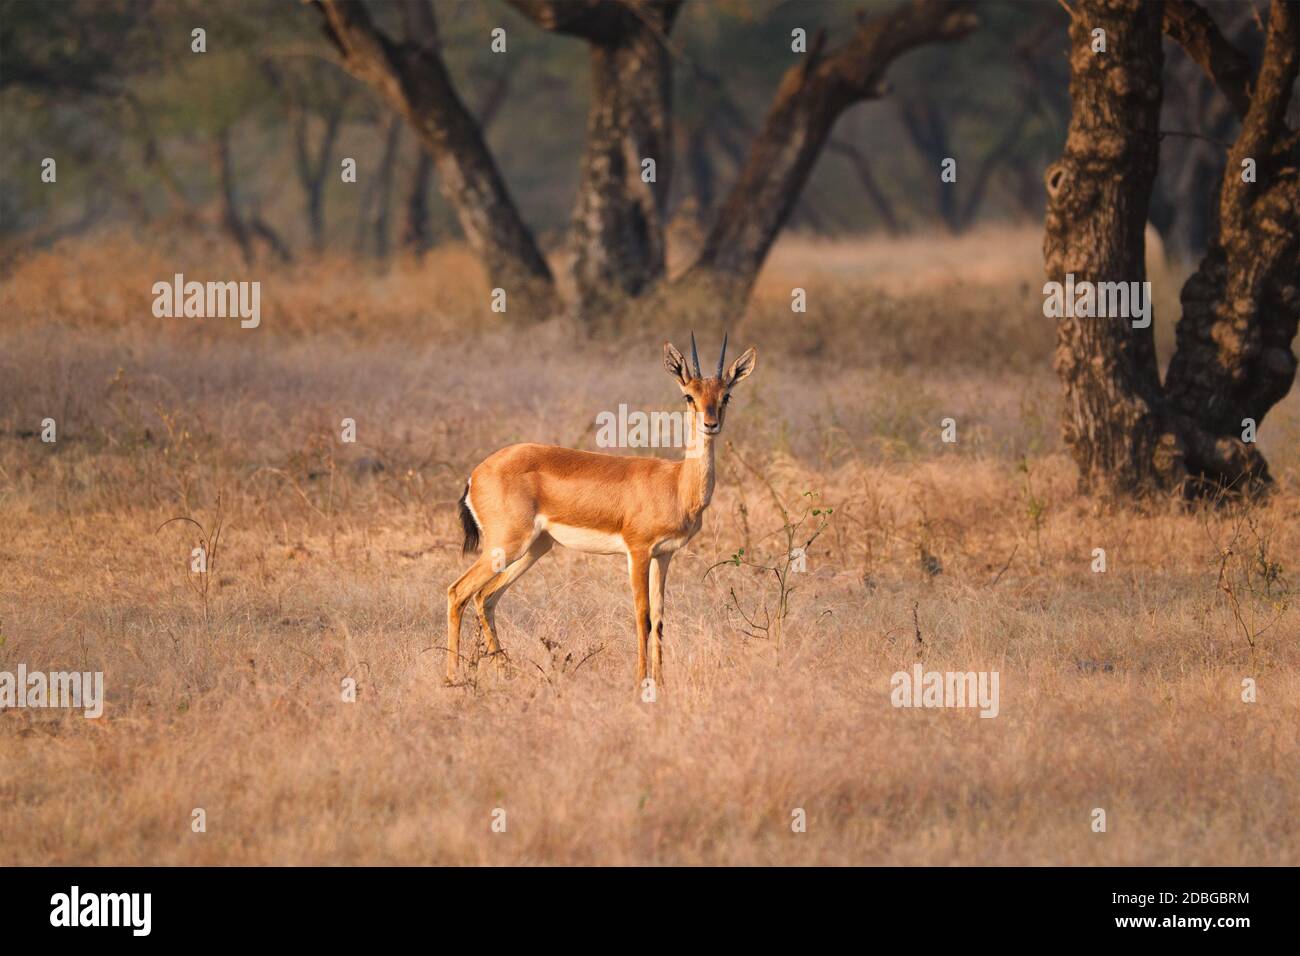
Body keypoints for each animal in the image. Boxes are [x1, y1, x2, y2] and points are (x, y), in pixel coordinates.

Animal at [447, 334, 757, 687]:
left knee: (485, 597)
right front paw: (641, 682)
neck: (676, 483)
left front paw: (661, 683)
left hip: (534, 548)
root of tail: (475, 475)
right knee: (458, 592)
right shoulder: (637, 551)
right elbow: (642, 615)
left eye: (726, 395)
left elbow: (660, 616)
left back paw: (508, 671)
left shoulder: (664, 555)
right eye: (689, 395)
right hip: (507, 545)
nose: (710, 424)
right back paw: (453, 677)